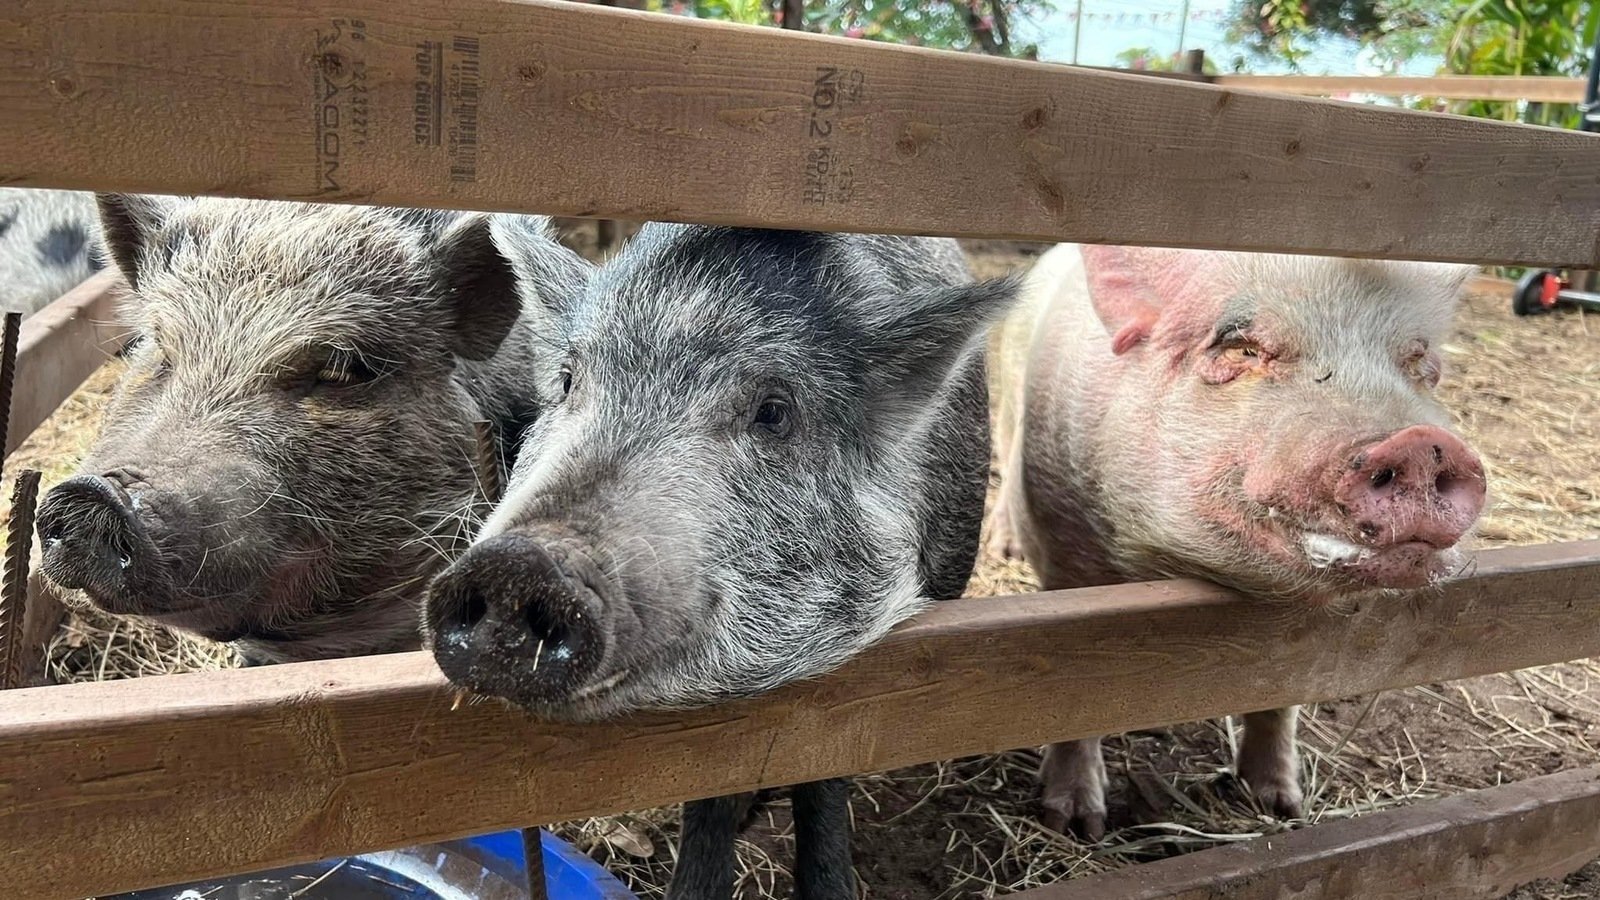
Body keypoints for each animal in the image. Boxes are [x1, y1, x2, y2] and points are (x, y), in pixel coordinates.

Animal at [987, 243, 1487, 840]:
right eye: (1243, 348)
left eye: (1418, 366)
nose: (1422, 443)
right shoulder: (1065, 556)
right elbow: (1075, 703)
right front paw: (1076, 823)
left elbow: (1280, 700)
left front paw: (1283, 806)